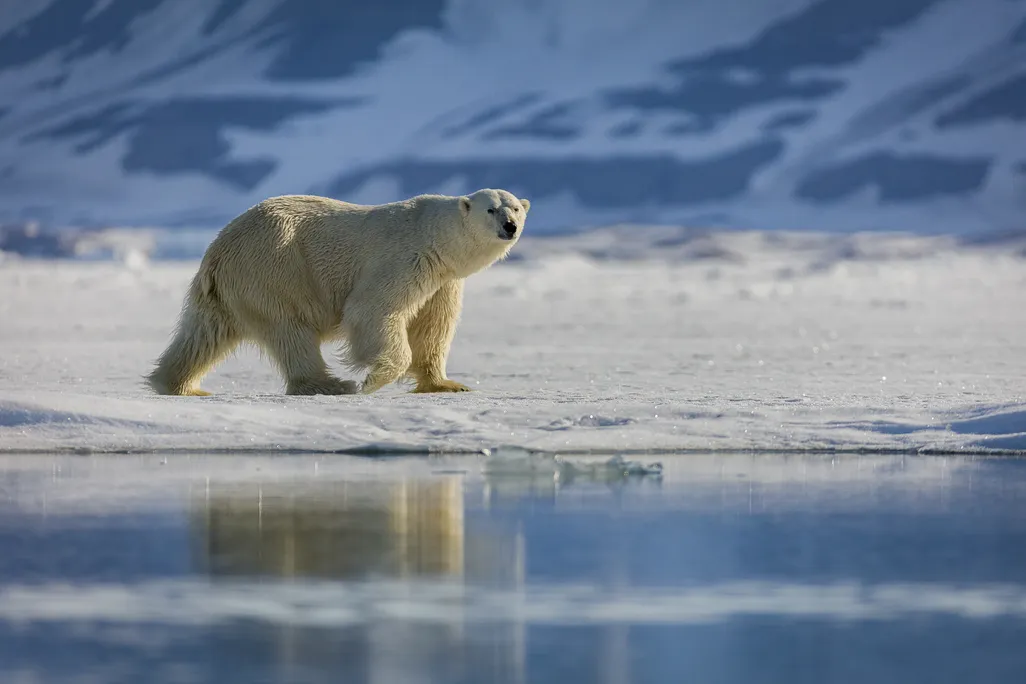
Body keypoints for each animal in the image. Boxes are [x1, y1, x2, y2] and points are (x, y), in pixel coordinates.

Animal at [145, 188, 530, 397]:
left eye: (515, 208)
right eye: (491, 209)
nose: (509, 226)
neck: (436, 235)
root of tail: (217, 248)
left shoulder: (443, 280)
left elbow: (433, 328)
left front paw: (448, 384)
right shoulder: (406, 258)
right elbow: (373, 309)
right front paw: (372, 380)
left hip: (228, 290)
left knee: (204, 334)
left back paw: (177, 384)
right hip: (276, 268)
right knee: (291, 329)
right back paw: (330, 384)